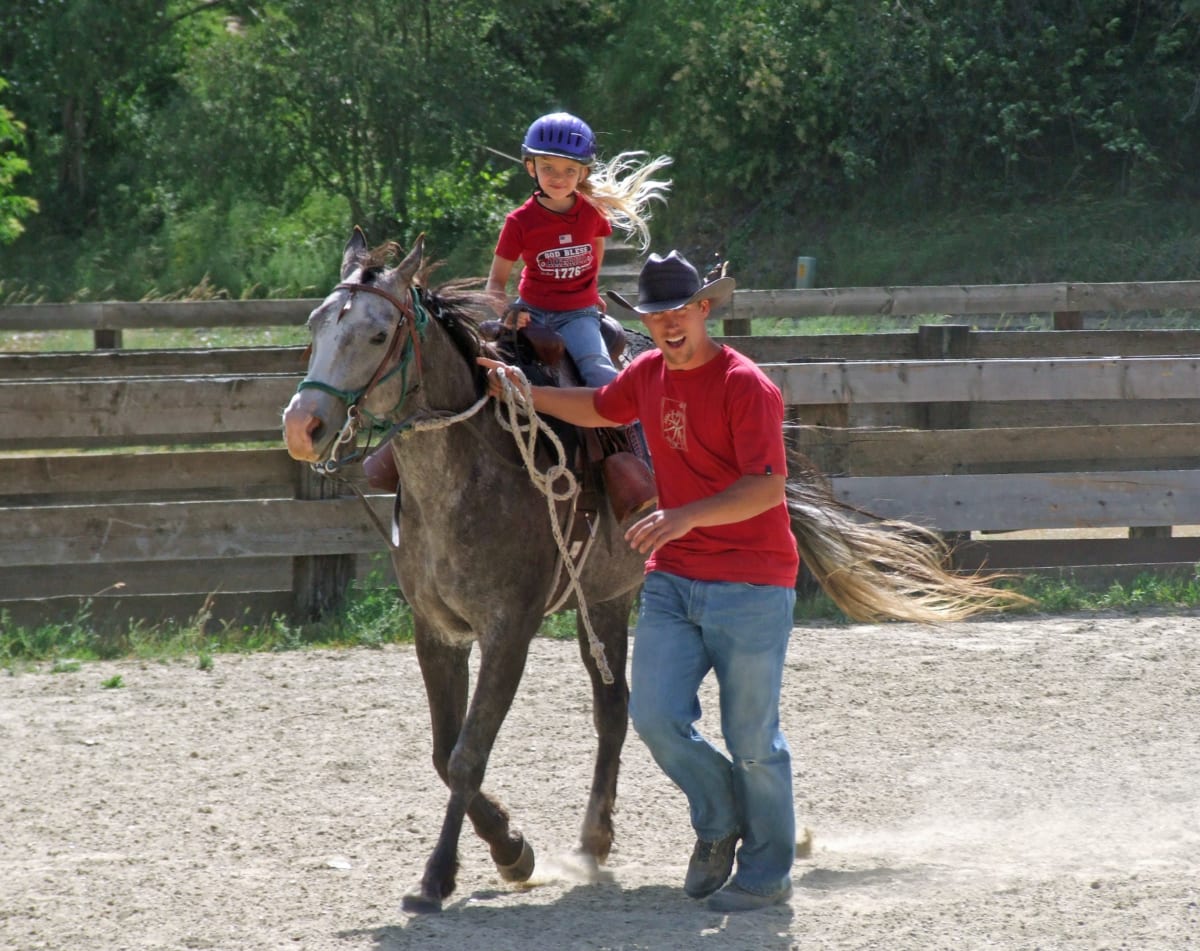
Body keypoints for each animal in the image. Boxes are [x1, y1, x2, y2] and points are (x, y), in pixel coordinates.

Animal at [282, 228, 1030, 913]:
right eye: (316, 326)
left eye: (377, 333)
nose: (302, 426)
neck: (473, 468)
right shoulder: (435, 631)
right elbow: (444, 752)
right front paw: (509, 848)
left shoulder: (509, 630)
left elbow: (468, 752)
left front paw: (449, 874)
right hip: (607, 599)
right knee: (616, 714)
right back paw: (597, 839)